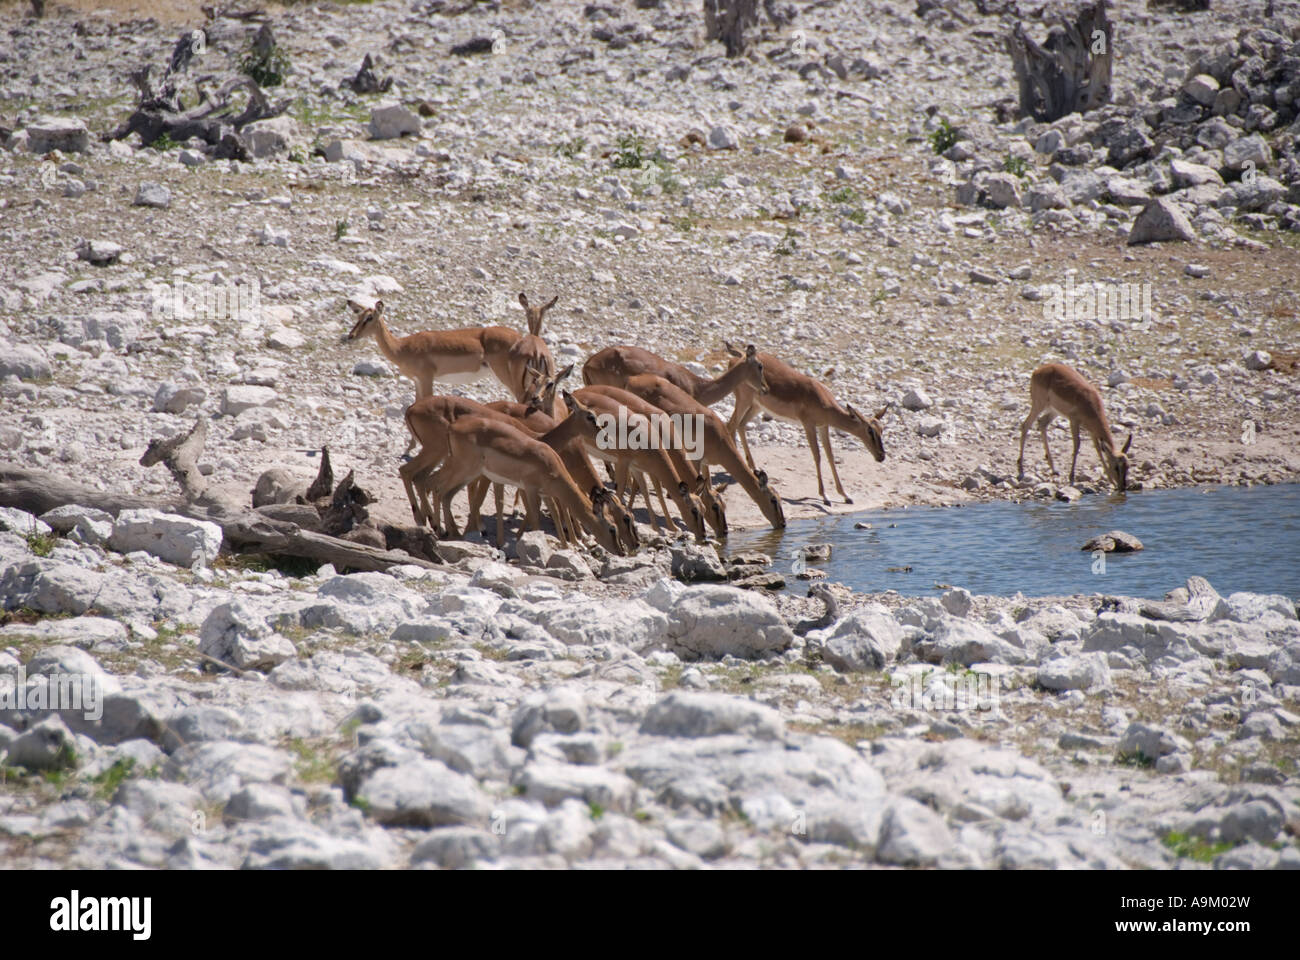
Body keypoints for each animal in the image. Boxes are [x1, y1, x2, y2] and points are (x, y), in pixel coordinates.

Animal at [611, 374, 787, 529]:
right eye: (773, 500)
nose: (783, 524)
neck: (718, 437)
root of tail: (633, 379)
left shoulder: (705, 463)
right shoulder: (695, 458)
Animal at [723, 342, 890, 505]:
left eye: (882, 429)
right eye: (870, 430)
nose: (881, 456)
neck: (823, 401)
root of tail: (736, 358)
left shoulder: (823, 426)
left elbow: (830, 456)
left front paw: (845, 495)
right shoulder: (808, 425)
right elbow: (817, 455)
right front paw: (825, 496)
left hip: (756, 407)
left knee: (740, 425)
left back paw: (753, 468)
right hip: (744, 401)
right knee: (731, 425)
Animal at [1016, 362, 1133, 492]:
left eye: (1128, 466)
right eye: (1116, 467)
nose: (1122, 487)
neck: (1090, 403)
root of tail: (1038, 370)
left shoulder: (1092, 430)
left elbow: (1098, 450)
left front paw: (1111, 481)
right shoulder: (1074, 421)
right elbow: (1077, 445)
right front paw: (1071, 477)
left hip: (1053, 411)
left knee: (1042, 423)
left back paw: (1054, 469)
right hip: (1039, 405)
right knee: (1025, 425)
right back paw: (1021, 470)